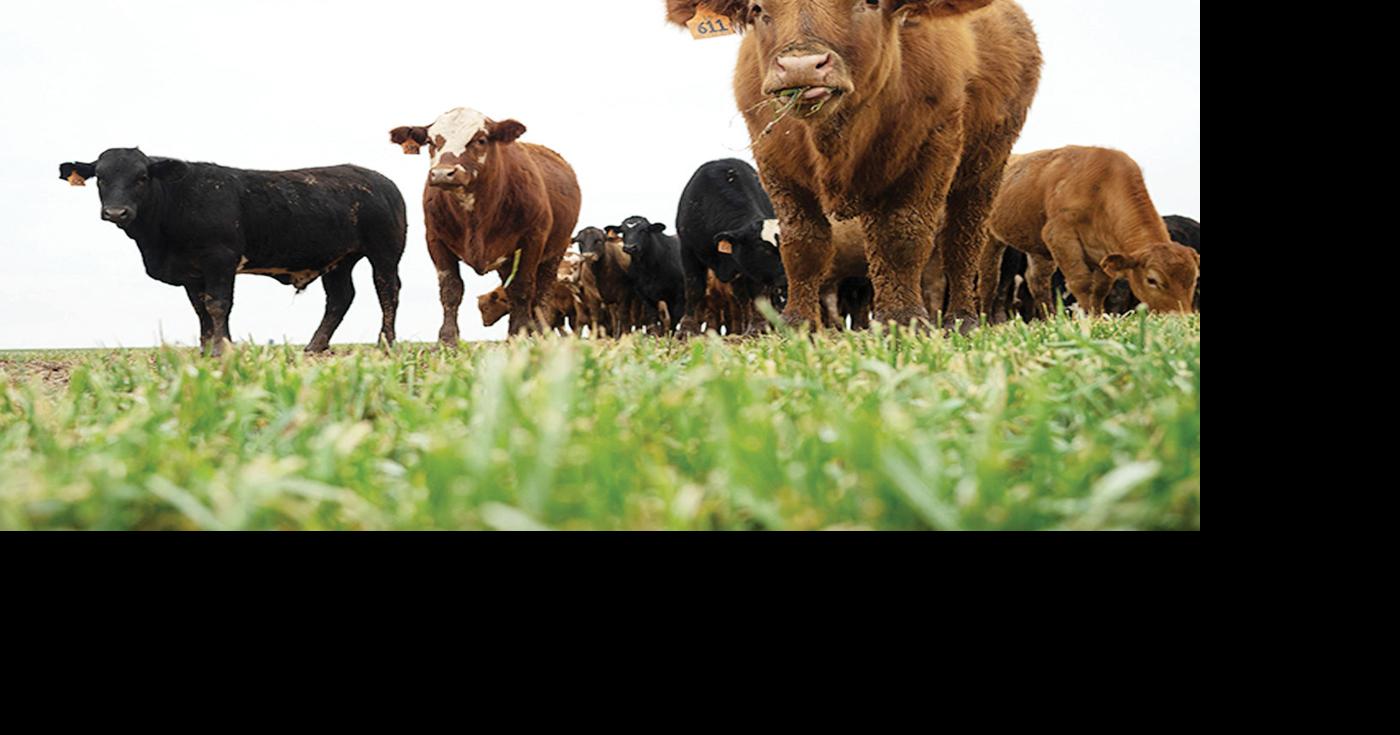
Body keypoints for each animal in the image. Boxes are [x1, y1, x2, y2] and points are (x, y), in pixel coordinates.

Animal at [57, 148, 405, 356]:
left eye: (142, 177)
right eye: (101, 178)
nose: (117, 212)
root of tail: (378, 179)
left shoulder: (220, 259)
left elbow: (218, 304)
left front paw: (222, 348)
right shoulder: (191, 272)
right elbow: (200, 310)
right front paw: (204, 349)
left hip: (384, 252)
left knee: (387, 291)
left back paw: (385, 342)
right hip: (338, 260)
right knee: (340, 298)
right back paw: (314, 346)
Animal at [390, 107, 581, 339]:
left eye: (480, 140)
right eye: (431, 141)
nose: (443, 173)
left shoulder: (532, 240)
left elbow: (523, 289)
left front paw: (520, 335)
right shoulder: (435, 240)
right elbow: (451, 288)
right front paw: (448, 339)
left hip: (555, 252)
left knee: (542, 291)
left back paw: (539, 331)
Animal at [674, 159, 787, 335]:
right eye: (763, 249)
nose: (786, 277)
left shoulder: (750, 269)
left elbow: (757, 294)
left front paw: (758, 327)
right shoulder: (687, 248)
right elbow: (694, 288)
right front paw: (686, 330)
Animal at [980, 147, 1200, 316]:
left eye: (1194, 279)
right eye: (1152, 280)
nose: (1180, 318)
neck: (1100, 188)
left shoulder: (1104, 252)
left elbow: (1100, 290)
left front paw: (1098, 317)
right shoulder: (1059, 235)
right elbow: (1081, 283)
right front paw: (1089, 321)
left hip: (1035, 245)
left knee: (1037, 282)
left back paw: (1048, 320)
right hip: (991, 239)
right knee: (990, 280)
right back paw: (986, 322)